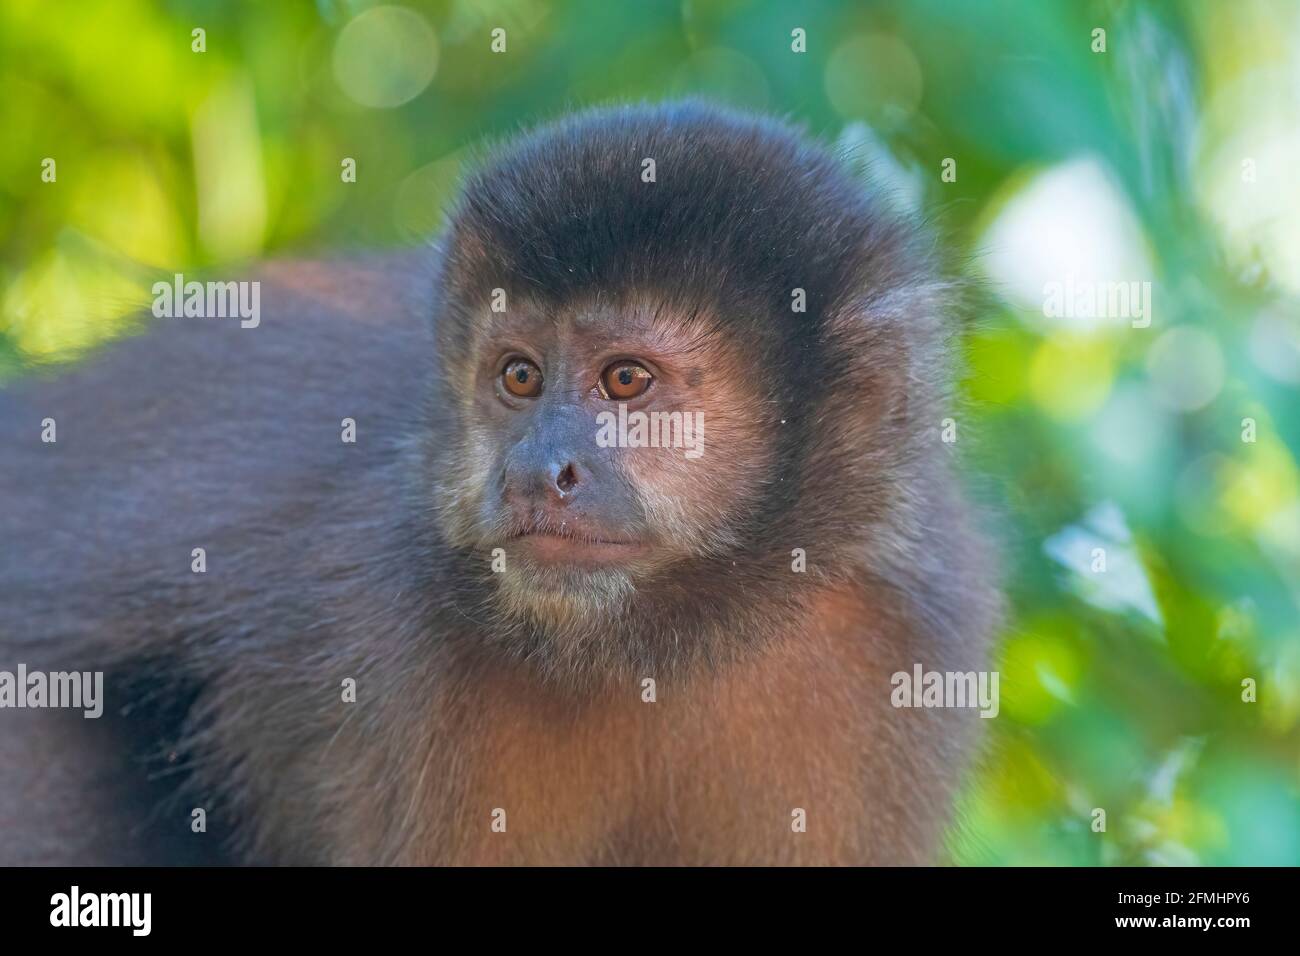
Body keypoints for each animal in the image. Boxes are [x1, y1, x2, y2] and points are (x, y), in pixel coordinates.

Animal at [0, 101, 1000, 866]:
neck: (670, 640)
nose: (532, 471)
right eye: (519, 377)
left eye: (626, 381)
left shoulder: (894, 638)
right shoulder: (407, 649)